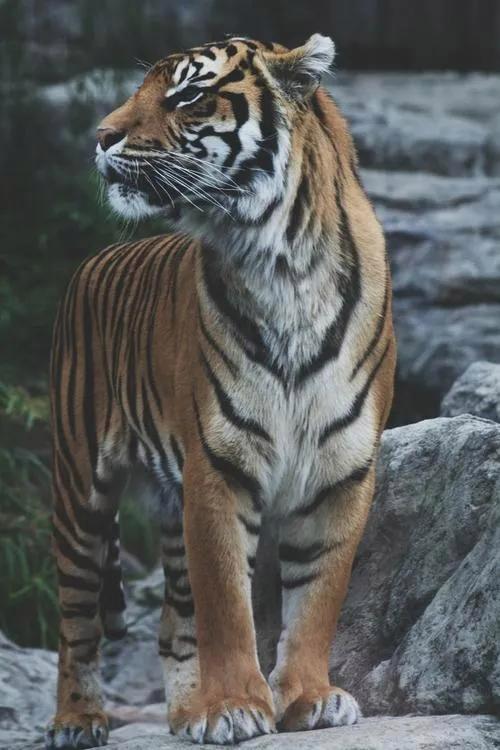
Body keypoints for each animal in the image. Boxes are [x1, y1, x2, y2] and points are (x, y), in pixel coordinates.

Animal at [46, 33, 395, 748]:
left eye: (188, 94)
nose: (100, 136)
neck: (285, 264)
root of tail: (94, 261)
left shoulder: (344, 472)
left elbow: (317, 598)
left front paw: (309, 698)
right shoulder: (218, 466)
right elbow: (227, 604)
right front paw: (234, 706)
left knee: (170, 622)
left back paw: (183, 714)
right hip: (80, 488)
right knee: (76, 618)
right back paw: (77, 719)